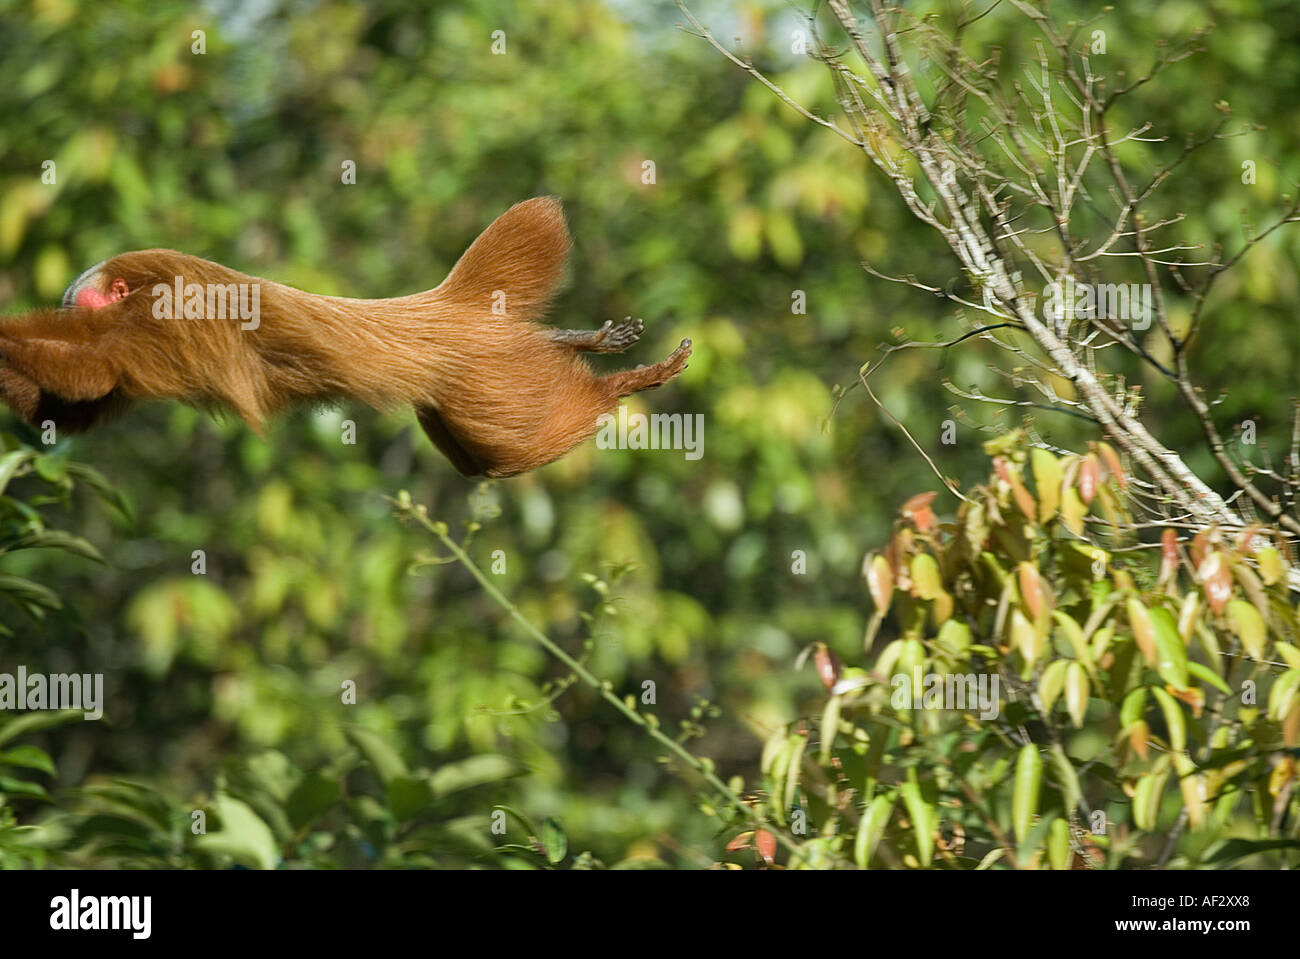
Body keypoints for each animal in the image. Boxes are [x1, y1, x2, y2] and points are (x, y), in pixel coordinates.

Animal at [0, 197, 691, 477]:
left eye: (83, 304)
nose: (73, 309)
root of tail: (445, 309)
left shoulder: (163, 316)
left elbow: (93, 374)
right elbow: (73, 408)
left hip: (491, 379)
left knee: (503, 456)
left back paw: (624, 384)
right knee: (480, 459)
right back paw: (578, 344)